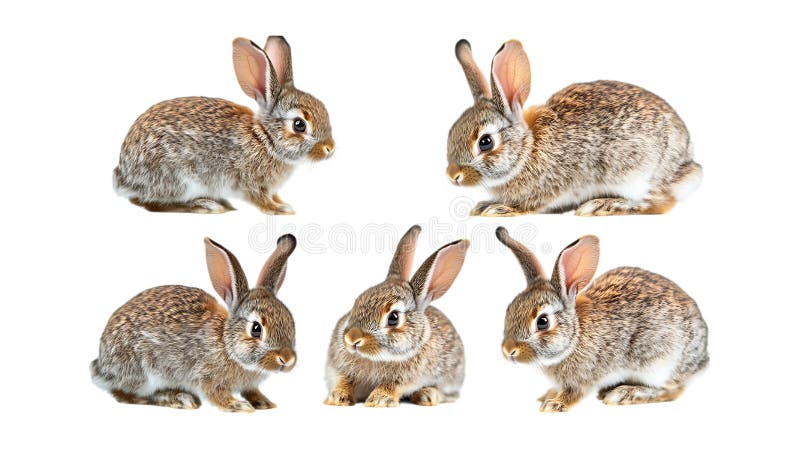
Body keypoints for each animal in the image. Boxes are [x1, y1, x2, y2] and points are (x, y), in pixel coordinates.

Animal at [90, 234, 298, 412]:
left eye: (291, 321)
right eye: (256, 329)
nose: (287, 360)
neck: (226, 344)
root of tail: (101, 366)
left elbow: (252, 391)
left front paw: (264, 402)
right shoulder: (206, 375)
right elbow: (216, 394)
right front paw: (238, 405)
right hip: (139, 371)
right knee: (125, 394)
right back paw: (178, 398)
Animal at [112, 36, 334, 214]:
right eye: (299, 125)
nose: (330, 149)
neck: (265, 140)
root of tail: (123, 176)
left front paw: (282, 203)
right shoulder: (250, 182)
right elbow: (260, 199)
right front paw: (279, 209)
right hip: (175, 179)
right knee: (152, 203)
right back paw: (206, 205)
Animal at [324, 225, 469, 407]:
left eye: (393, 318)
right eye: (356, 302)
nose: (352, 339)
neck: (376, 358)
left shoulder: (406, 378)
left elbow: (391, 385)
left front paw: (378, 400)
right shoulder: (340, 369)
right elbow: (344, 380)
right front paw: (337, 398)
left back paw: (427, 396)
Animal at [447, 39, 702, 216]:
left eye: (485, 142)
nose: (453, 176)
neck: (527, 151)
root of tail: (688, 165)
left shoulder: (548, 186)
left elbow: (530, 205)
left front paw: (500, 209)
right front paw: (483, 206)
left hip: (638, 174)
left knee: (656, 202)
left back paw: (603, 205)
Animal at [495, 227, 708, 412]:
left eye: (542, 321)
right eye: (509, 309)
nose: (508, 351)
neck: (575, 336)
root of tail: (702, 358)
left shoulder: (583, 378)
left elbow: (574, 394)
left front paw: (554, 405)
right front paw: (548, 396)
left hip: (661, 363)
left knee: (672, 390)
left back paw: (625, 394)